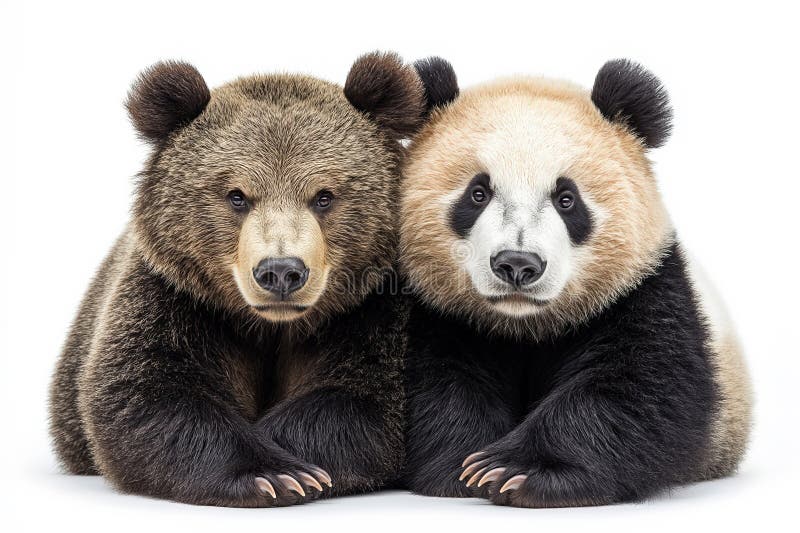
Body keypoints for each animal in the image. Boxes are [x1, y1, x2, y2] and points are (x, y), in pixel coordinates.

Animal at [48, 51, 426, 507]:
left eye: (324, 196)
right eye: (237, 196)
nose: (280, 271)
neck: (272, 326)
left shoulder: (369, 310)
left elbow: (367, 400)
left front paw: (295, 467)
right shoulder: (179, 299)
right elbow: (146, 395)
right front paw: (274, 474)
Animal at [399, 57, 752, 507]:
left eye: (567, 200)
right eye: (478, 193)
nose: (518, 264)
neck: (523, 324)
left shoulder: (643, 288)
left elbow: (641, 389)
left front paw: (515, 470)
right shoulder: (433, 306)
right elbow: (435, 383)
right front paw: (462, 468)